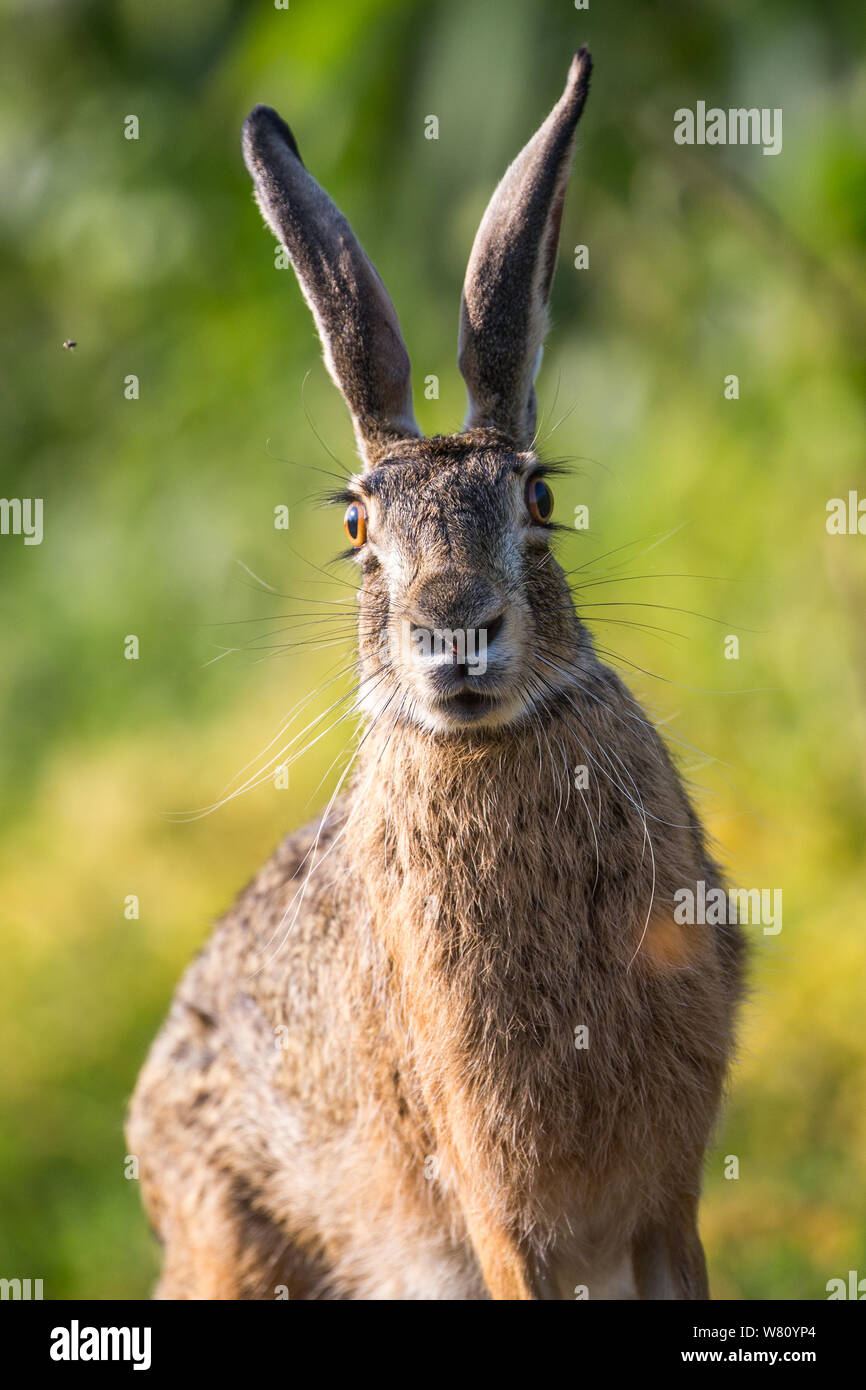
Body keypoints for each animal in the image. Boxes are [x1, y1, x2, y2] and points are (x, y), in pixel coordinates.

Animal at [127, 49, 745, 1300]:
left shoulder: (664, 1202)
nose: (453, 627)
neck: (486, 747)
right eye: (358, 526)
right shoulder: (491, 1202)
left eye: (538, 498)